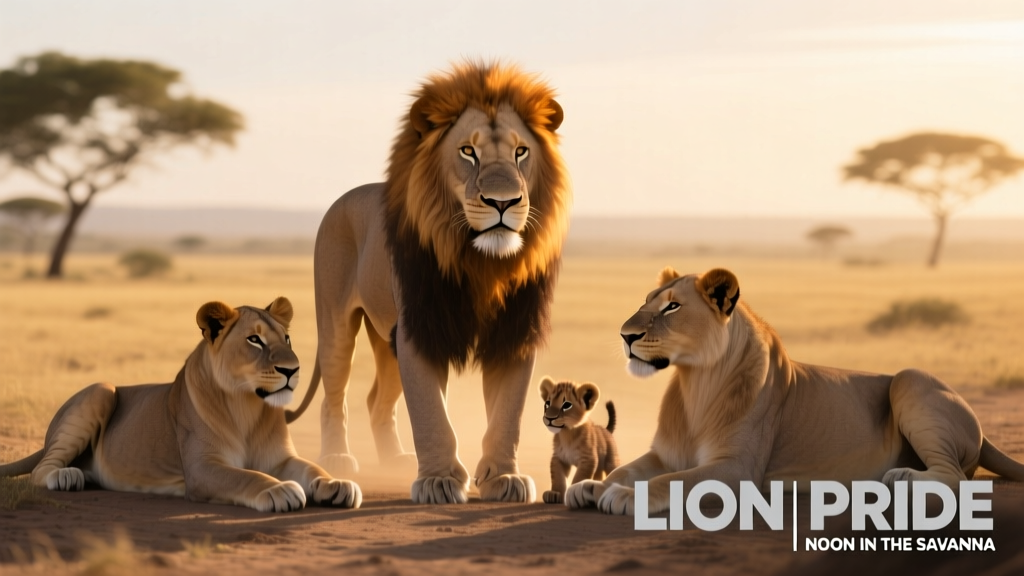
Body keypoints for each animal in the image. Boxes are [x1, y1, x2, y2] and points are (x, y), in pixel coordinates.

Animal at [0, 298, 362, 513]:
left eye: (286, 338)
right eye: (254, 340)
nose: (293, 369)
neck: (248, 406)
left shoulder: (281, 459)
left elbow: (312, 468)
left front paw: (337, 484)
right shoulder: (202, 468)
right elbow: (246, 477)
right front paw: (280, 490)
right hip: (101, 391)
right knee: (41, 468)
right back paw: (67, 476)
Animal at [284, 61, 571, 504]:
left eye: (521, 152)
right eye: (468, 152)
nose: (503, 202)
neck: (480, 262)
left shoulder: (514, 330)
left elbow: (509, 413)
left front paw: (504, 477)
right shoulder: (421, 328)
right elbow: (431, 414)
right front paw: (438, 481)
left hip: (386, 336)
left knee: (377, 400)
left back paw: (394, 460)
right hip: (336, 323)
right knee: (336, 394)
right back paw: (336, 458)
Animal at [539, 376, 620, 504]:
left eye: (566, 405)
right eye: (547, 403)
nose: (549, 418)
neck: (567, 434)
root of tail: (606, 430)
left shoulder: (588, 459)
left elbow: (579, 477)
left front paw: (574, 493)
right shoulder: (559, 458)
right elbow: (557, 477)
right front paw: (554, 494)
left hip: (611, 461)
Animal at [566, 267, 1024, 515]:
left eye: (672, 306)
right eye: (646, 301)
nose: (625, 335)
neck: (696, 381)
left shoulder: (738, 470)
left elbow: (671, 482)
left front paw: (623, 495)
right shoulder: (664, 454)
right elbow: (630, 469)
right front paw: (590, 486)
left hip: (909, 379)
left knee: (957, 479)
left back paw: (903, 477)